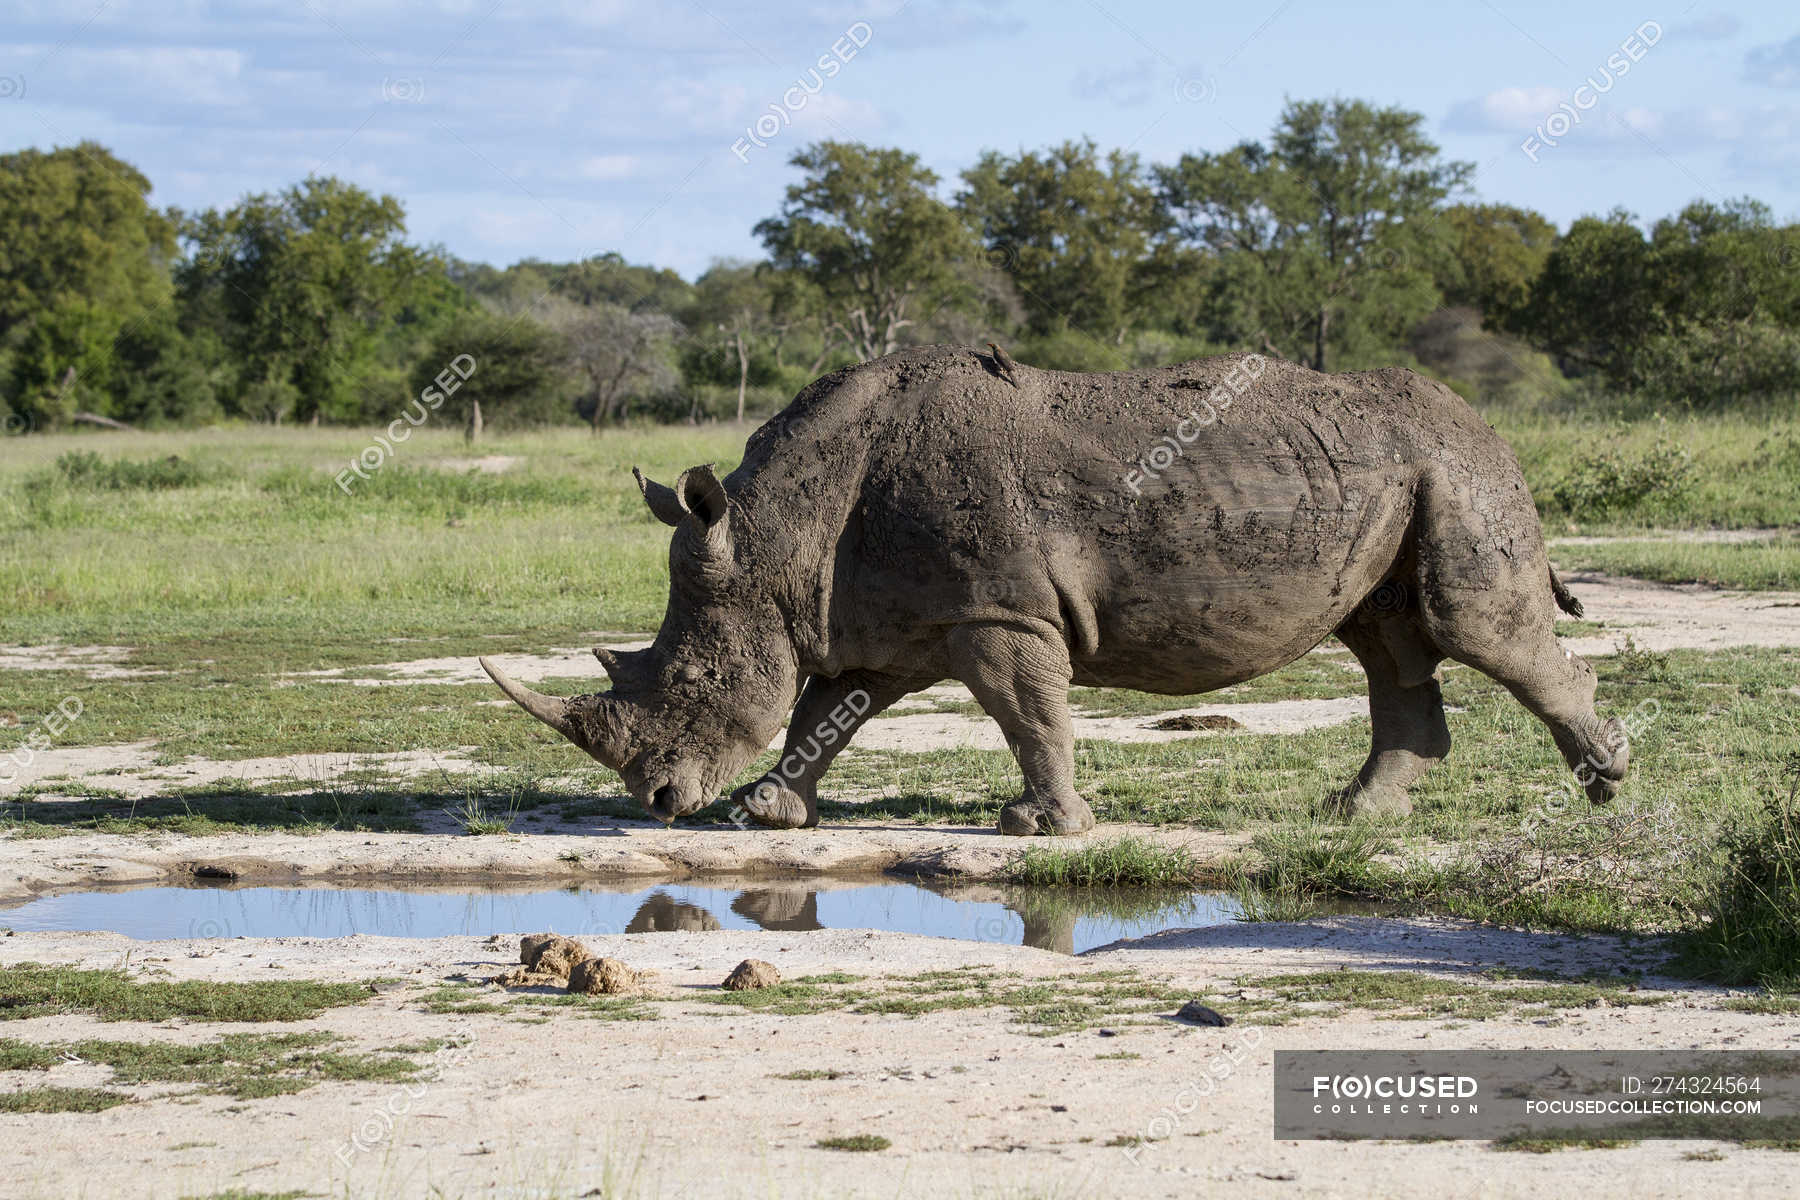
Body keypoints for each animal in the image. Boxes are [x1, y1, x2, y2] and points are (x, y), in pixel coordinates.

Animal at [480, 345, 1628, 836]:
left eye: (692, 682)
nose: (659, 804)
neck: (775, 536)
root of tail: (1485, 420)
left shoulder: (999, 609)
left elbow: (1027, 711)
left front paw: (1042, 827)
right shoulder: (879, 616)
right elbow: (826, 711)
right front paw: (772, 814)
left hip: (1456, 468)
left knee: (1470, 625)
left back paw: (1609, 780)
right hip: (1389, 473)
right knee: (1386, 640)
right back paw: (1350, 813)